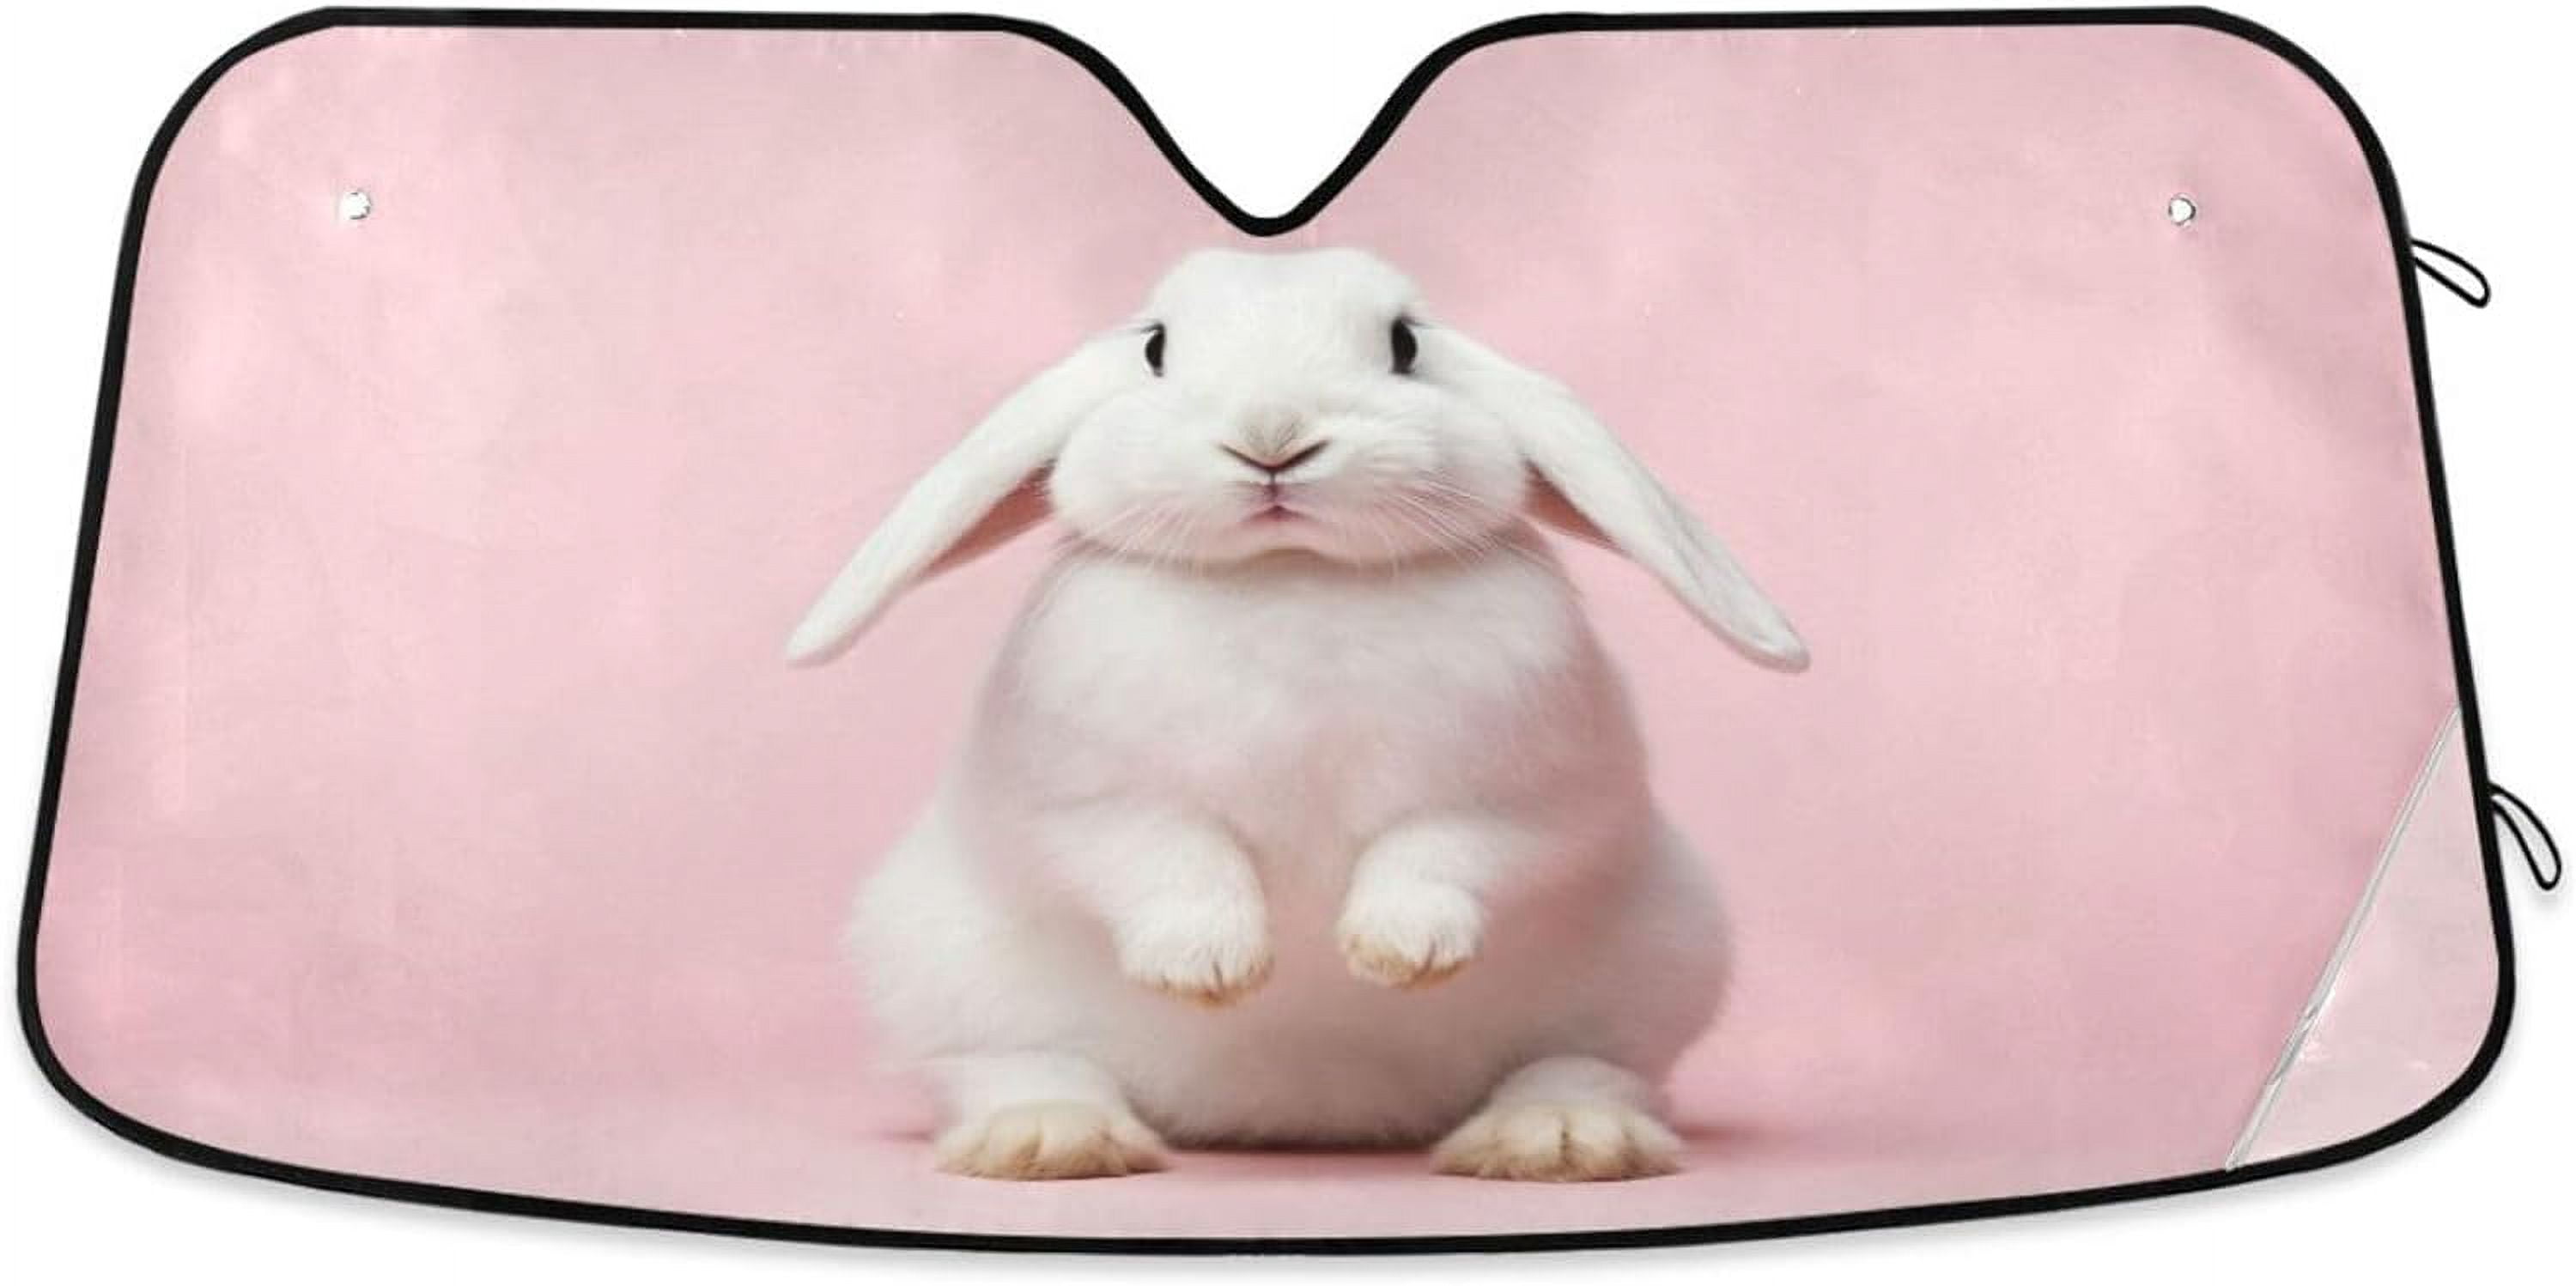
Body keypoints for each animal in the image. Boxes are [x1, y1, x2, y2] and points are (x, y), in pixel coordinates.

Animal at [787, 247, 1807, 1182]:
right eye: (1156, 348)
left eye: (1405, 347)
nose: (1272, 433)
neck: (1291, 576)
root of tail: (1304, 1111)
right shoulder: (1086, 796)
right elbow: (1163, 856)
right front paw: (1207, 968)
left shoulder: (1535, 791)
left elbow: (1449, 849)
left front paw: (1399, 952)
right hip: (940, 971)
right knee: (1011, 1067)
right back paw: (1048, 1139)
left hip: (1660, 964)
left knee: (1590, 1067)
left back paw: (1560, 1141)